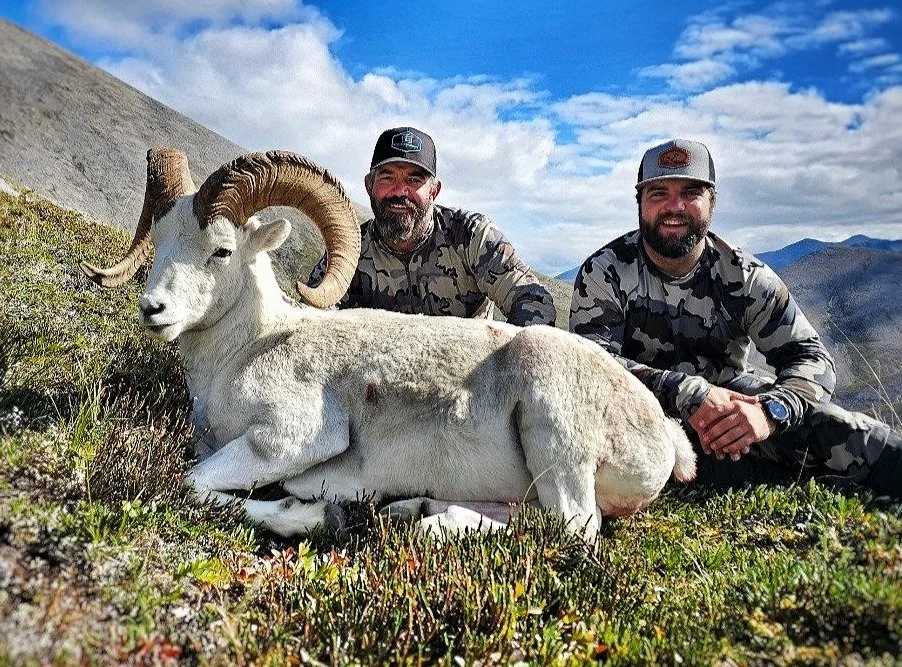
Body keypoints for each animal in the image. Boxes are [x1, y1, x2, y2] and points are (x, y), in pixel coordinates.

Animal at [80, 148, 696, 540]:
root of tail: (663, 431)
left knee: (572, 530)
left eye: (222, 250)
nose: (153, 311)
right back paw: (414, 510)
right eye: (161, 240)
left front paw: (314, 516)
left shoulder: (288, 440)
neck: (250, 349)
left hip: (556, 442)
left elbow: (193, 486)